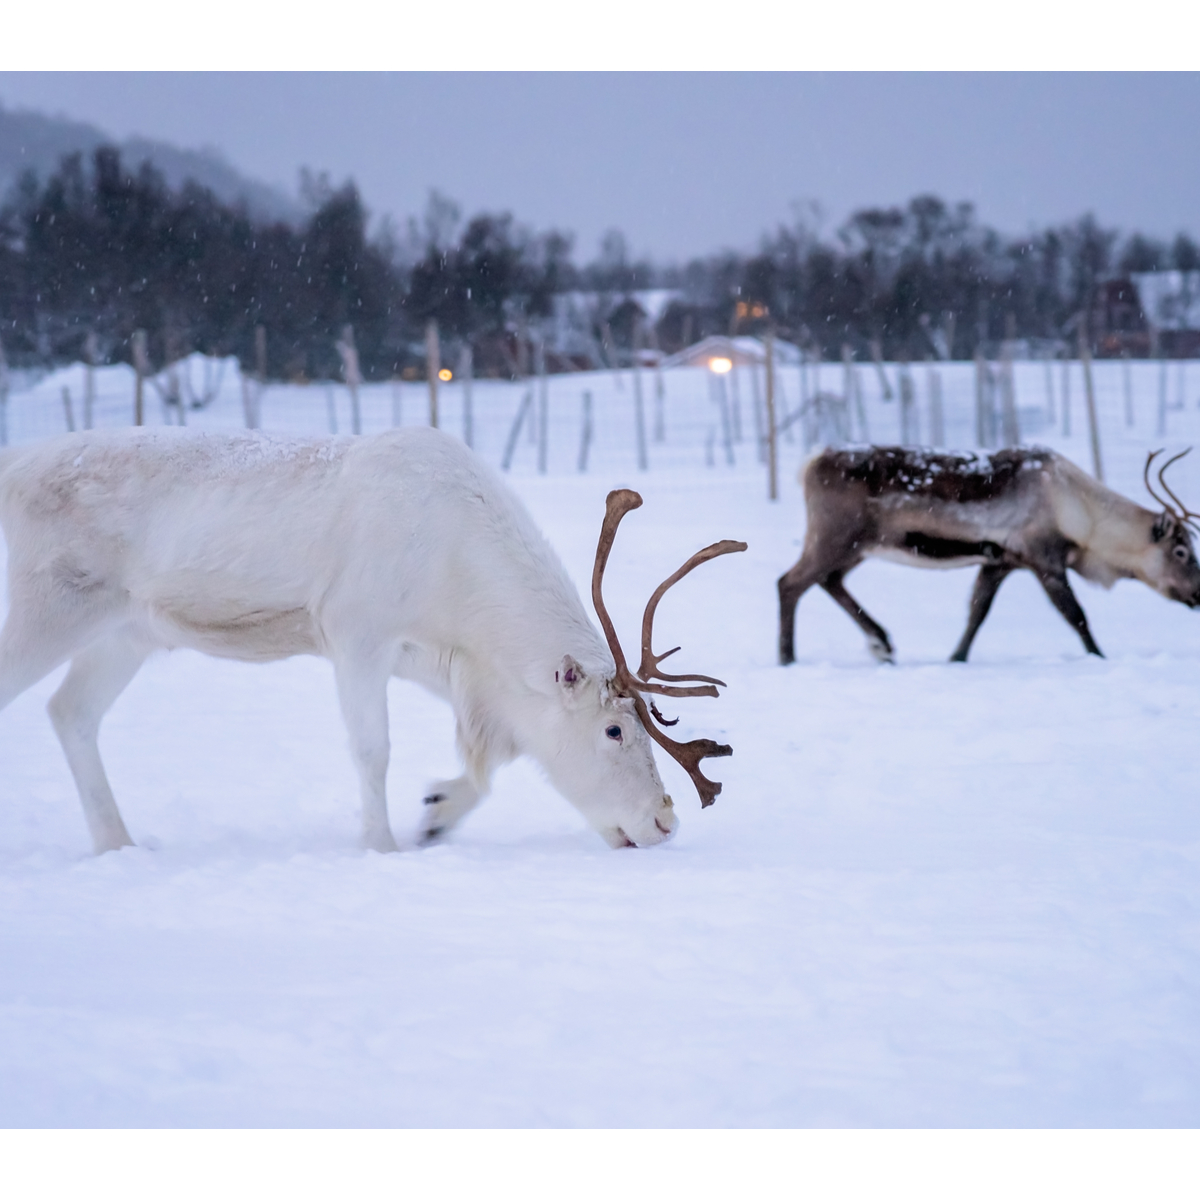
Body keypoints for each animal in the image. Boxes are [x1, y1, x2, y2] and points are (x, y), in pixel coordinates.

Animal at [0, 426, 744, 854]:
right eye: (614, 731)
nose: (664, 822)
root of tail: (11, 468)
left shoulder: (436, 658)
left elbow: (496, 752)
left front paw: (439, 812)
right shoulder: (355, 628)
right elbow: (372, 750)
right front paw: (383, 846)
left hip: (128, 629)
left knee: (69, 712)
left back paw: (118, 844)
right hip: (53, 603)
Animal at [777, 445, 1200, 665]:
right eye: (1181, 550)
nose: (1198, 593)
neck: (1080, 513)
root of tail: (810, 462)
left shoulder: (1000, 562)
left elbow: (977, 613)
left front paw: (956, 658)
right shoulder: (1044, 559)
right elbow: (1077, 616)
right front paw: (1099, 657)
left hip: (855, 546)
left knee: (828, 581)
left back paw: (882, 643)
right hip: (836, 538)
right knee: (790, 583)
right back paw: (788, 657)